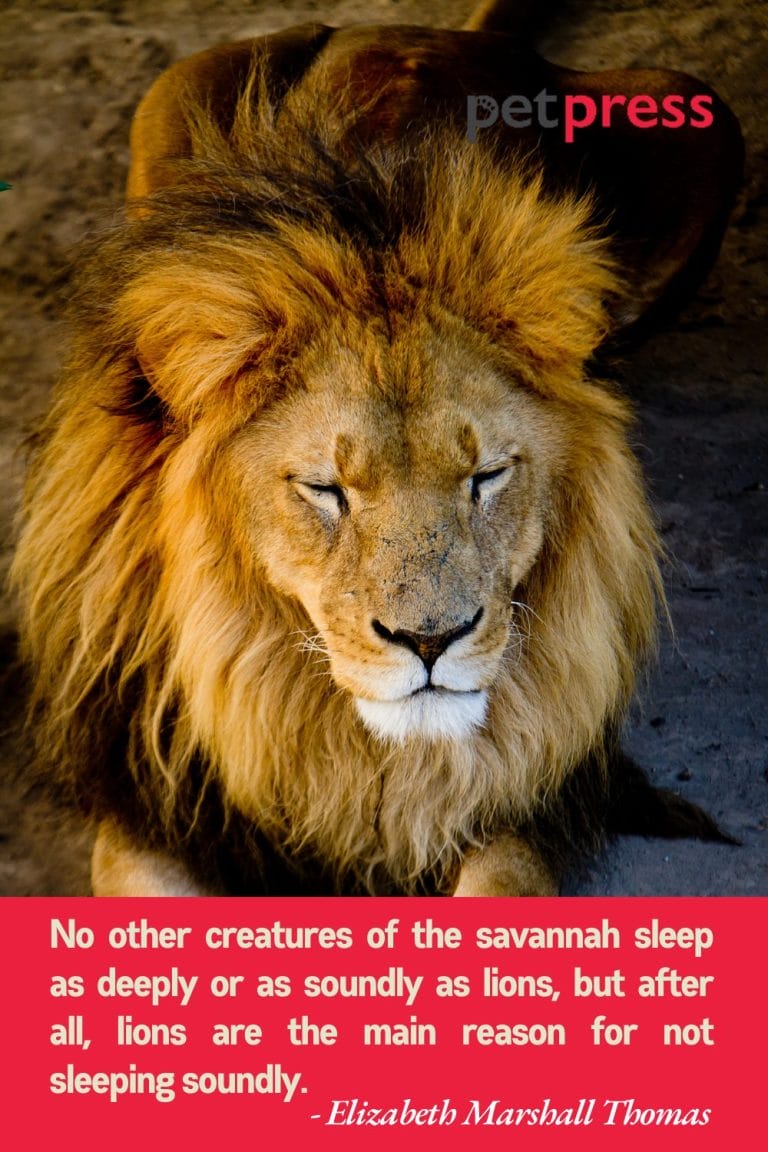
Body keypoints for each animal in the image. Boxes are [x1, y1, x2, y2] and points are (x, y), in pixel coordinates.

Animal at [12, 1, 740, 896]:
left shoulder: (531, 791)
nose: (431, 643)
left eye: (485, 477)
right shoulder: (155, 795)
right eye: (326, 489)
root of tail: (450, 32)